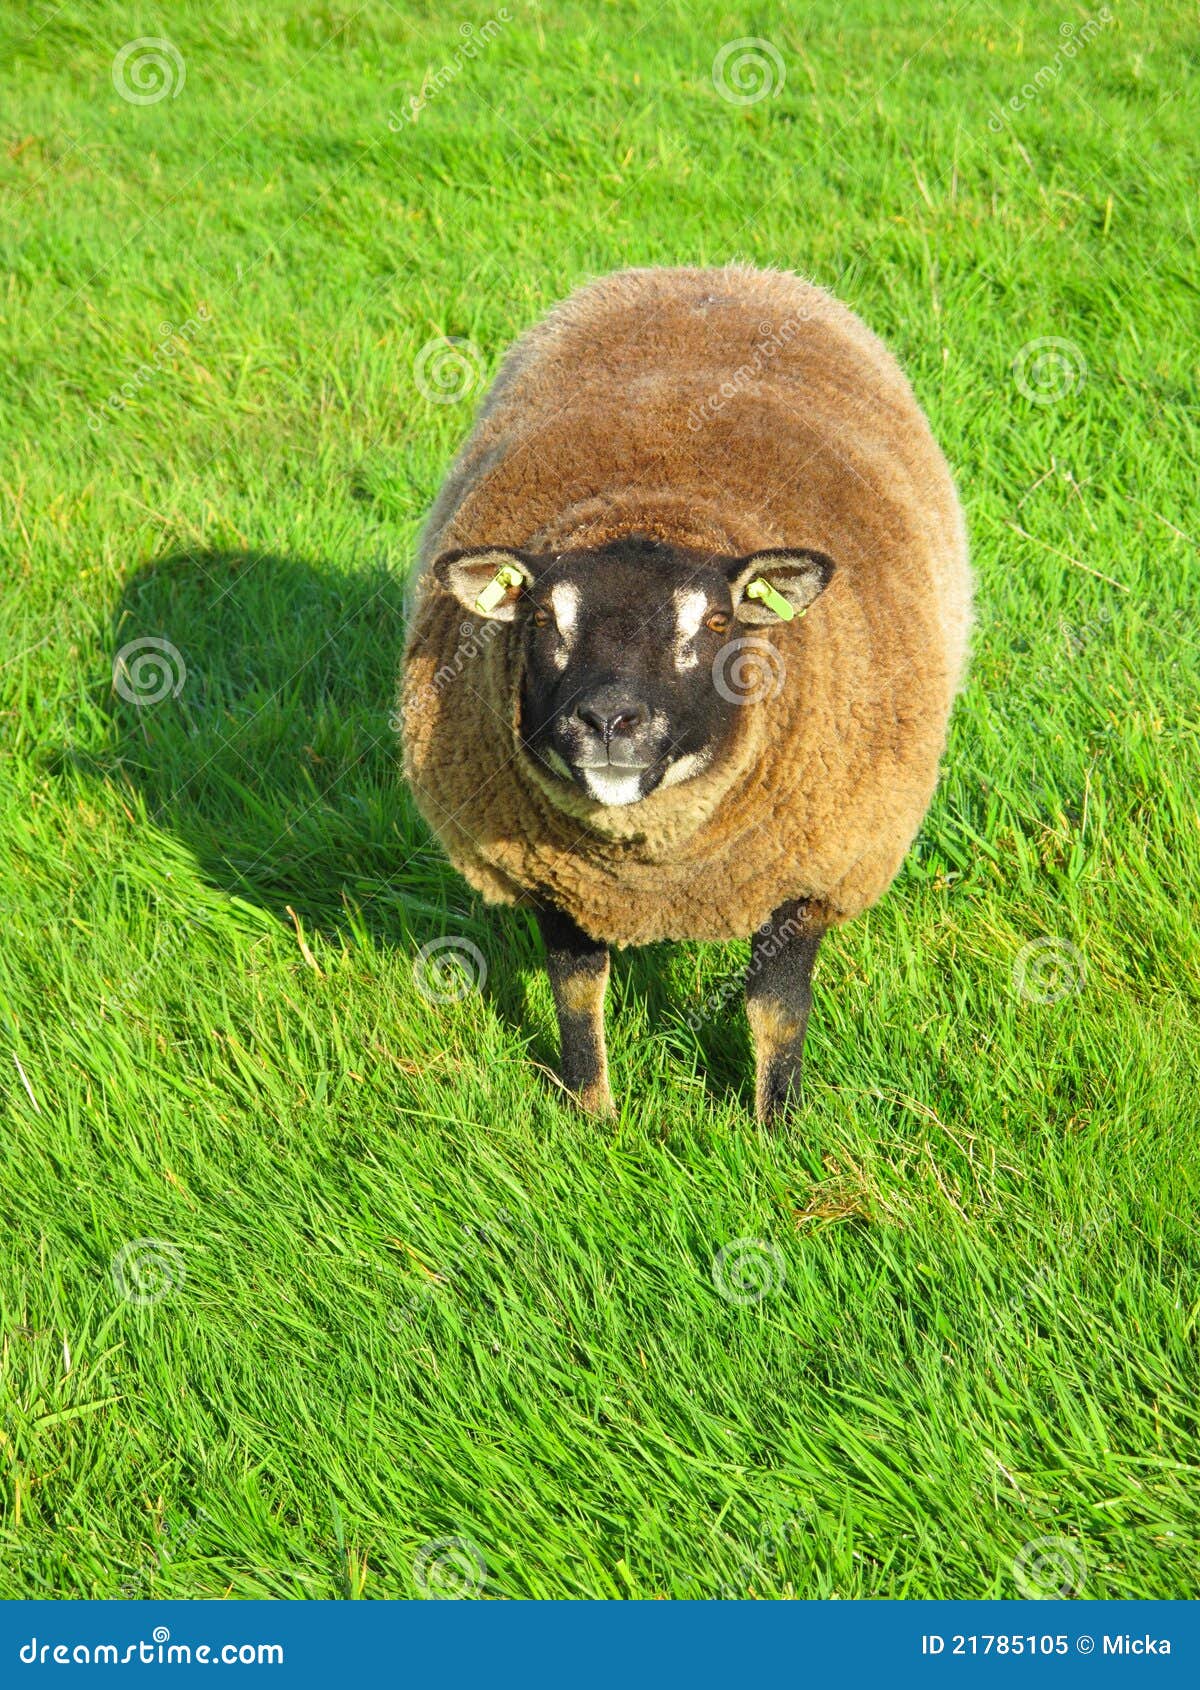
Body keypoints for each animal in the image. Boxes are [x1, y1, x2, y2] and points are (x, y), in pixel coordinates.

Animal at [400, 265, 972, 1122]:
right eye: (540, 618)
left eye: (715, 620)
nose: (609, 718)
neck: (654, 868)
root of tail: (715, 269)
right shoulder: (556, 881)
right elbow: (577, 995)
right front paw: (592, 1117)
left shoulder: (806, 876)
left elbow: (776, 1009)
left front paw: (776, 1129)